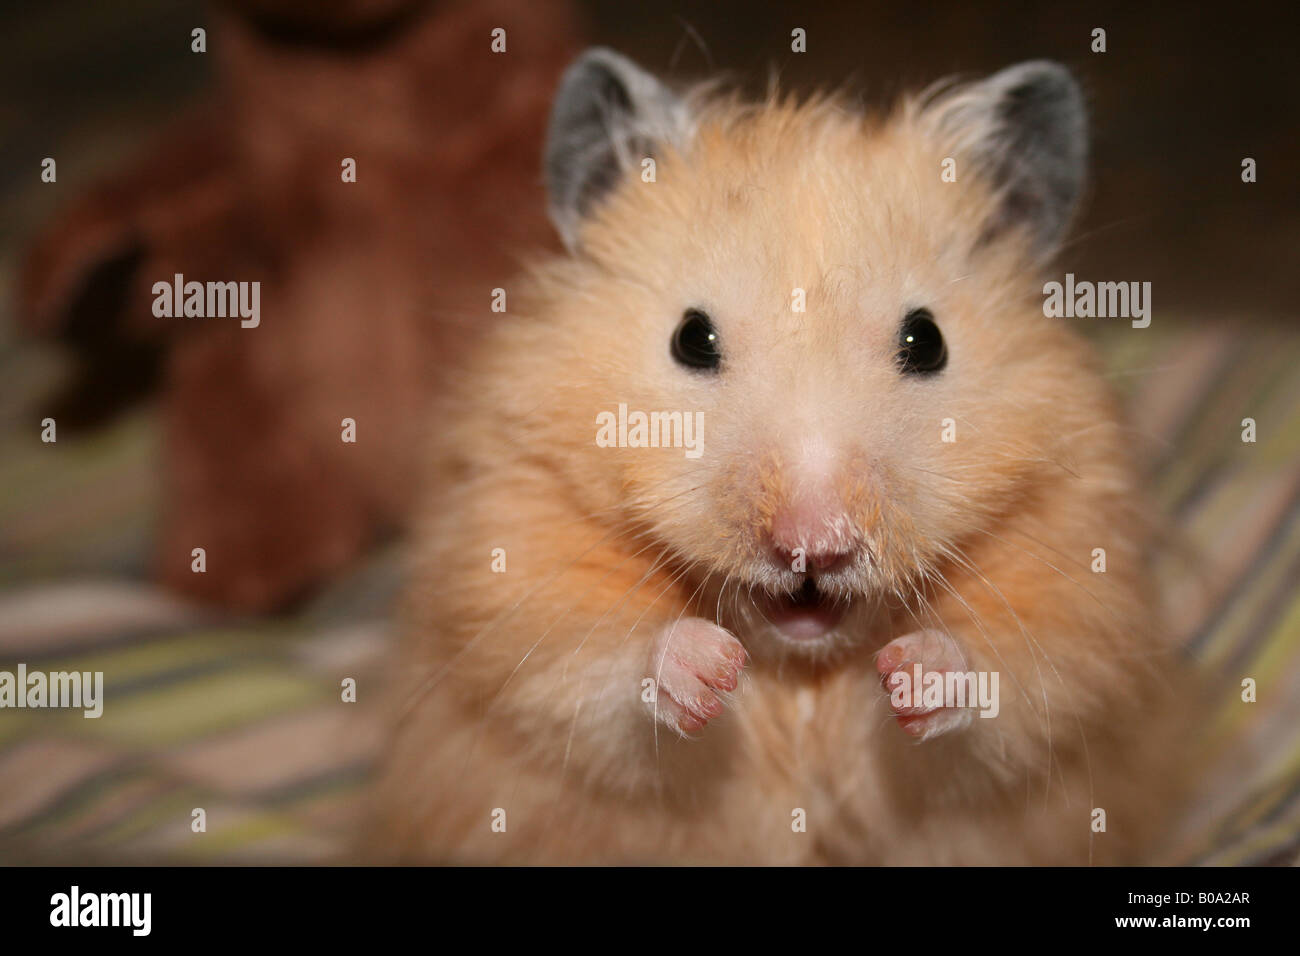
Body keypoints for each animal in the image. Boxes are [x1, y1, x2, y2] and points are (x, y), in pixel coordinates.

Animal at [370, 49, 1191, 864]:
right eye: (691, 337)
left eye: (927, 340)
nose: (814, 543)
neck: (802, 666)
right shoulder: (520, 583)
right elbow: (604, 683)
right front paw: (705, 667)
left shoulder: (1075, 607)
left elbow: (996, 704)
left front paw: (915, 673)